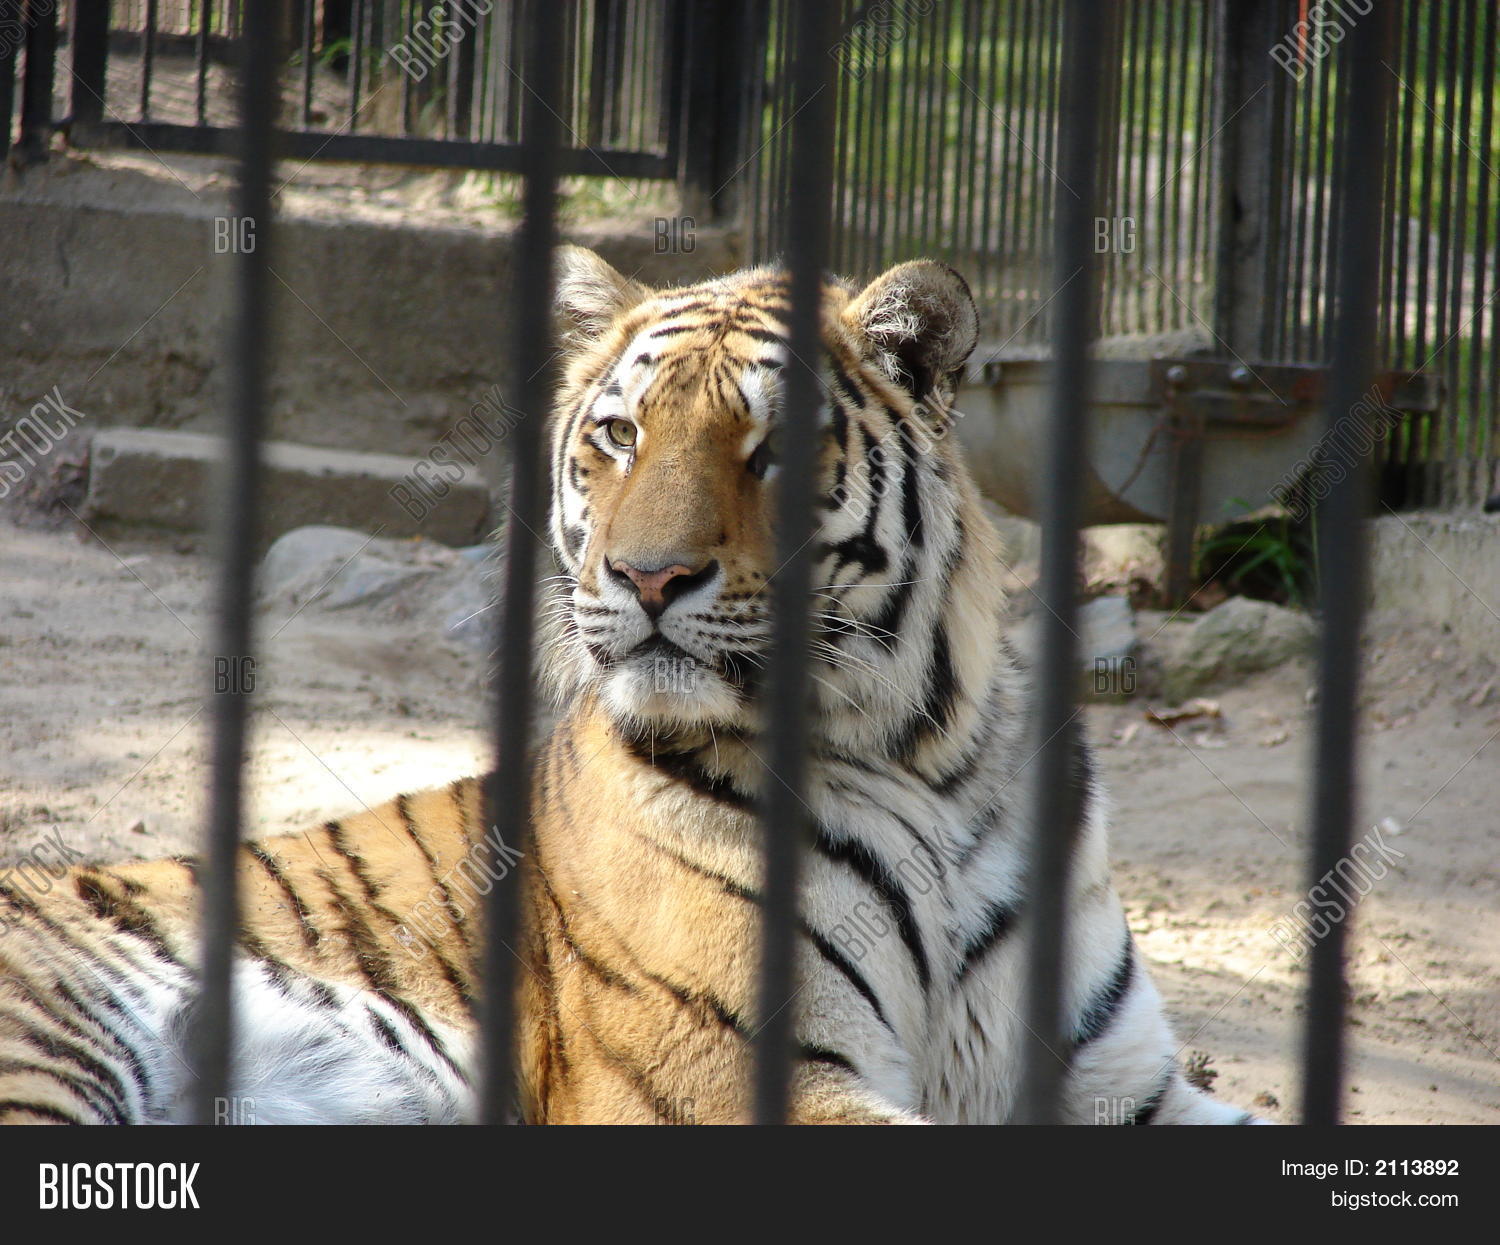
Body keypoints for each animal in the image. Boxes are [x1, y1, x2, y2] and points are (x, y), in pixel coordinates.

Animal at [0, 247, 1260, 1124]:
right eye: (618, 434)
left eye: (776, 448)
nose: (649, 575)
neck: (923, 754)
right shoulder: (731, 1073)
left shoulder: (1126, 1081)